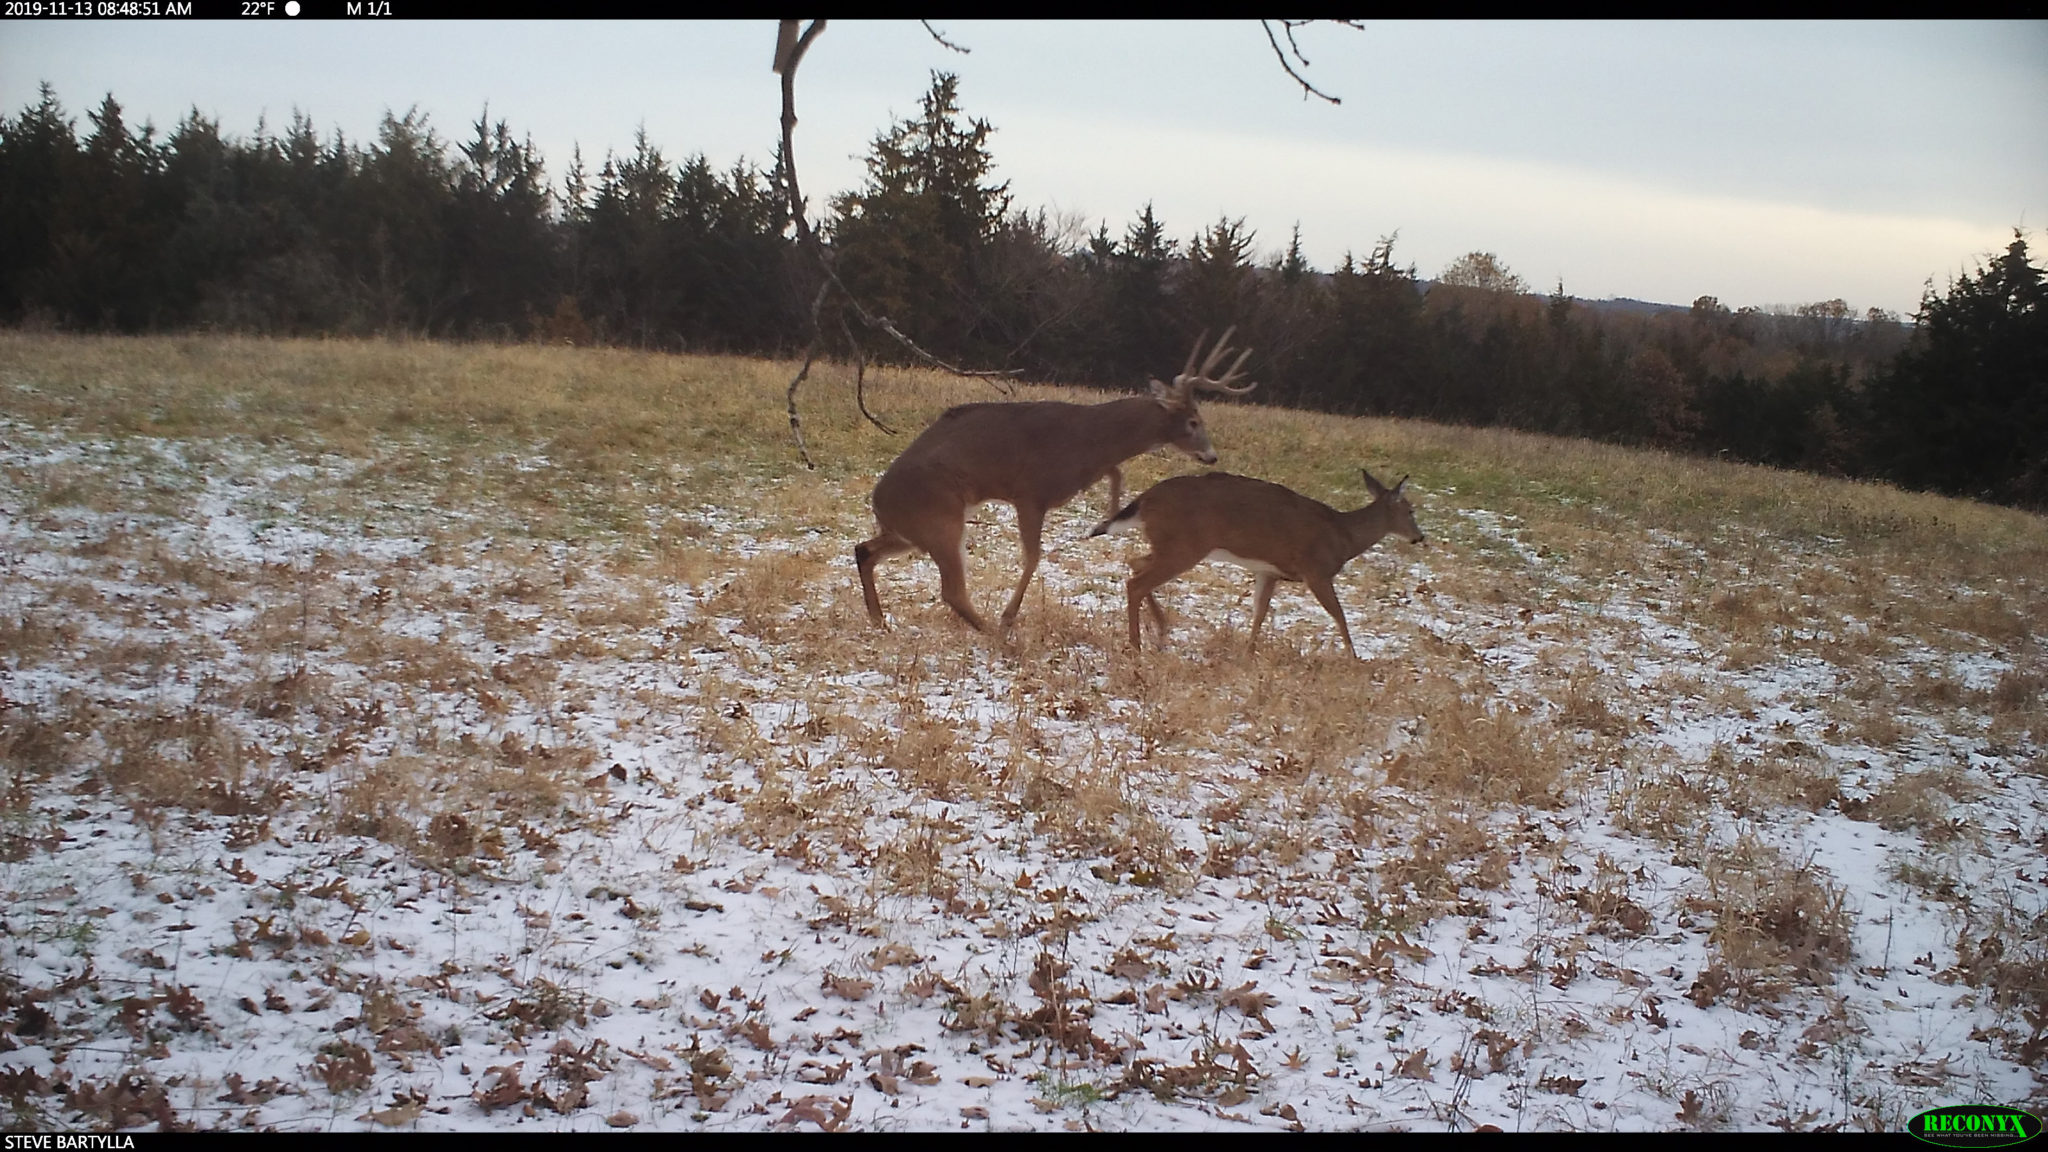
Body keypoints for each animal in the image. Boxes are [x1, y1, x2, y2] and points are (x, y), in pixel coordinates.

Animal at [855, 329, 1258, 633]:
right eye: (1193, 421)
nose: (1211, 456)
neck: (1090, 438)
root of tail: (877, 499)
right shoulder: (1030, 491)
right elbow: (1033, 557)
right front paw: (1009, 616)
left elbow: (1117, 483)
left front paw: (1107, 523)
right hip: (940, 518)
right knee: (951, 590)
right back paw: (994, 633)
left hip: (911, 530)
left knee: (864, 550)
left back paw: (879, 620)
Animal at [1088, 468, 1425, 657]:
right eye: (1410, 511)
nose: (1419, 537)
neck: (1344, 536)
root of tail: (1146, 499)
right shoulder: (1315, 570)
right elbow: (1339, 615)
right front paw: (1354, 658)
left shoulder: (1268, 571)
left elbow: (1259, 612)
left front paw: (1248, 653)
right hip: (1184, 547)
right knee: (1136, 582)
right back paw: (1137, 645)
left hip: (1169, 545)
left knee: (1134, 562)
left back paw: (1160, 631)